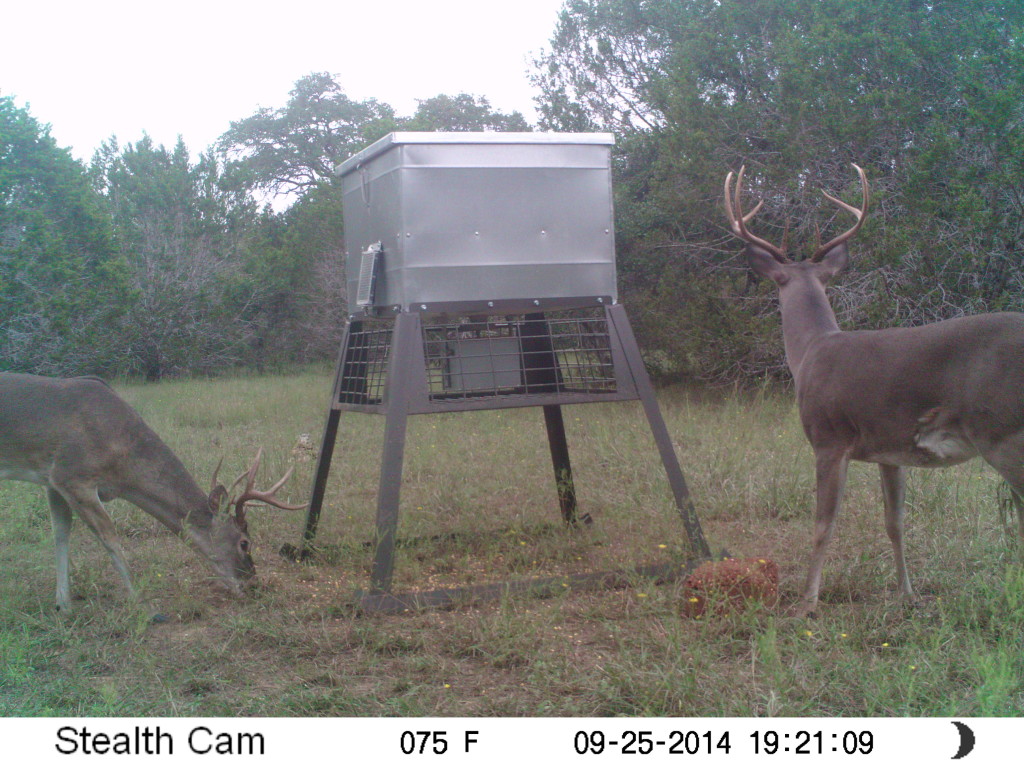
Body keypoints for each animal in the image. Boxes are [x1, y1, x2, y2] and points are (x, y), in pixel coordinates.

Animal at [0, 372, 305, 611]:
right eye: (244, 542)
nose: (254, 584)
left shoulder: (52, 481)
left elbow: (60, 536)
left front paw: (63, 605)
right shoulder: (72, 474)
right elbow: (110, 537)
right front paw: (141, 602)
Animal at [723, 164, 1024, 617]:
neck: (811, 351)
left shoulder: (828, 440)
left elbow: (822, 526)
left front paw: (806, 604)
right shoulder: (891, 449)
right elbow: (895, 522)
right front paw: (907, 595)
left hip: (1003, 432)